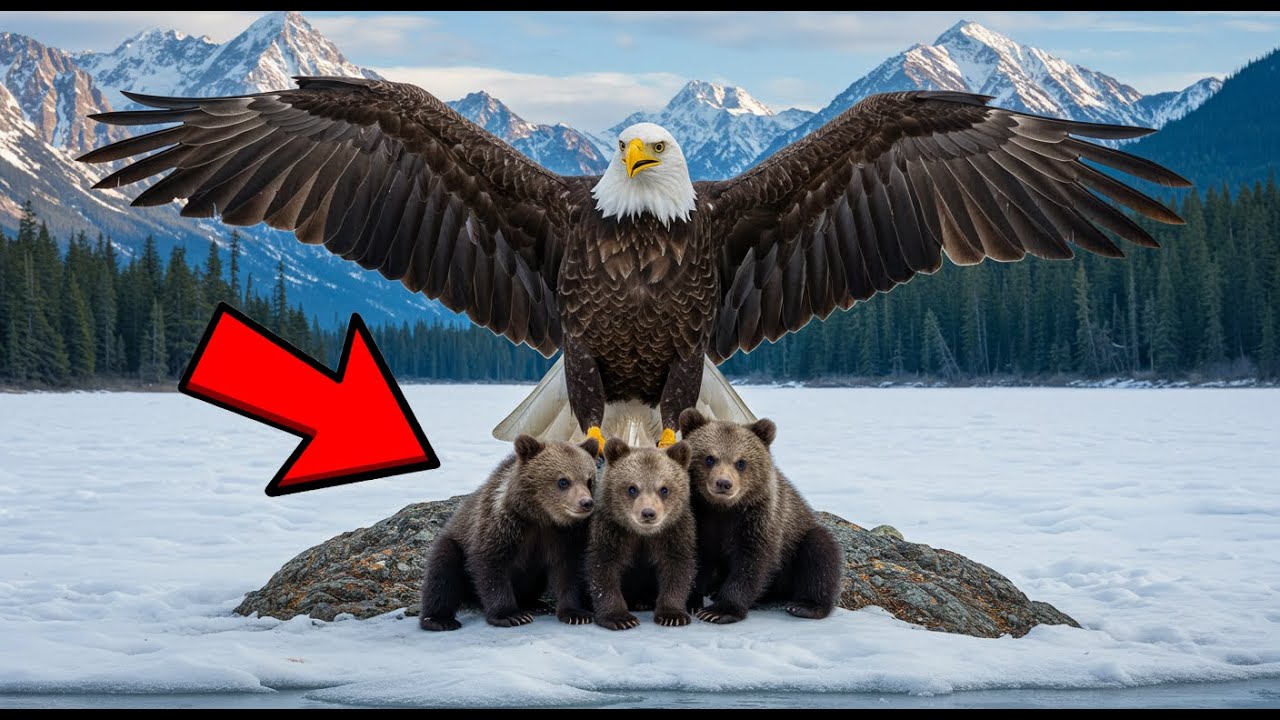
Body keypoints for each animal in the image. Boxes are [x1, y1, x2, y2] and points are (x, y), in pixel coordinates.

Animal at [418, 435, 599, 631]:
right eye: (563, 481)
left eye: (589, 480)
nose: (586, 503)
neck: (540, 517)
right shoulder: (500, 526)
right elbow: (491, 566)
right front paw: (510, 615)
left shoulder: (564, 536)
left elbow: (568, 571)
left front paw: (575, 614)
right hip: (454, 543)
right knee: (442, 571)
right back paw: (439, 619)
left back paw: (535, 604)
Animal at [586, 438, 697, 631]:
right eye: (632, 488)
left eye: (664, 489)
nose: (648, 513)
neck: (643, 534)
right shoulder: (612, 530)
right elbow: (603, 568)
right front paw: (620, 618)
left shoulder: (673, 532)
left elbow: (677, 568)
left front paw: (673, 615)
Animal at [679, 409, 842, 624]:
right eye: (709, 458)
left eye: (741, 462)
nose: (724, 483)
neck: (721, 509)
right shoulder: (699, 516)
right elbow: (693, 558)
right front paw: (690, 601)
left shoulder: (758, 519)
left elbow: (751, 563)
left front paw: (719, 611)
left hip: (797, 539)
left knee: (820, 552)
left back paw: (806, 606)